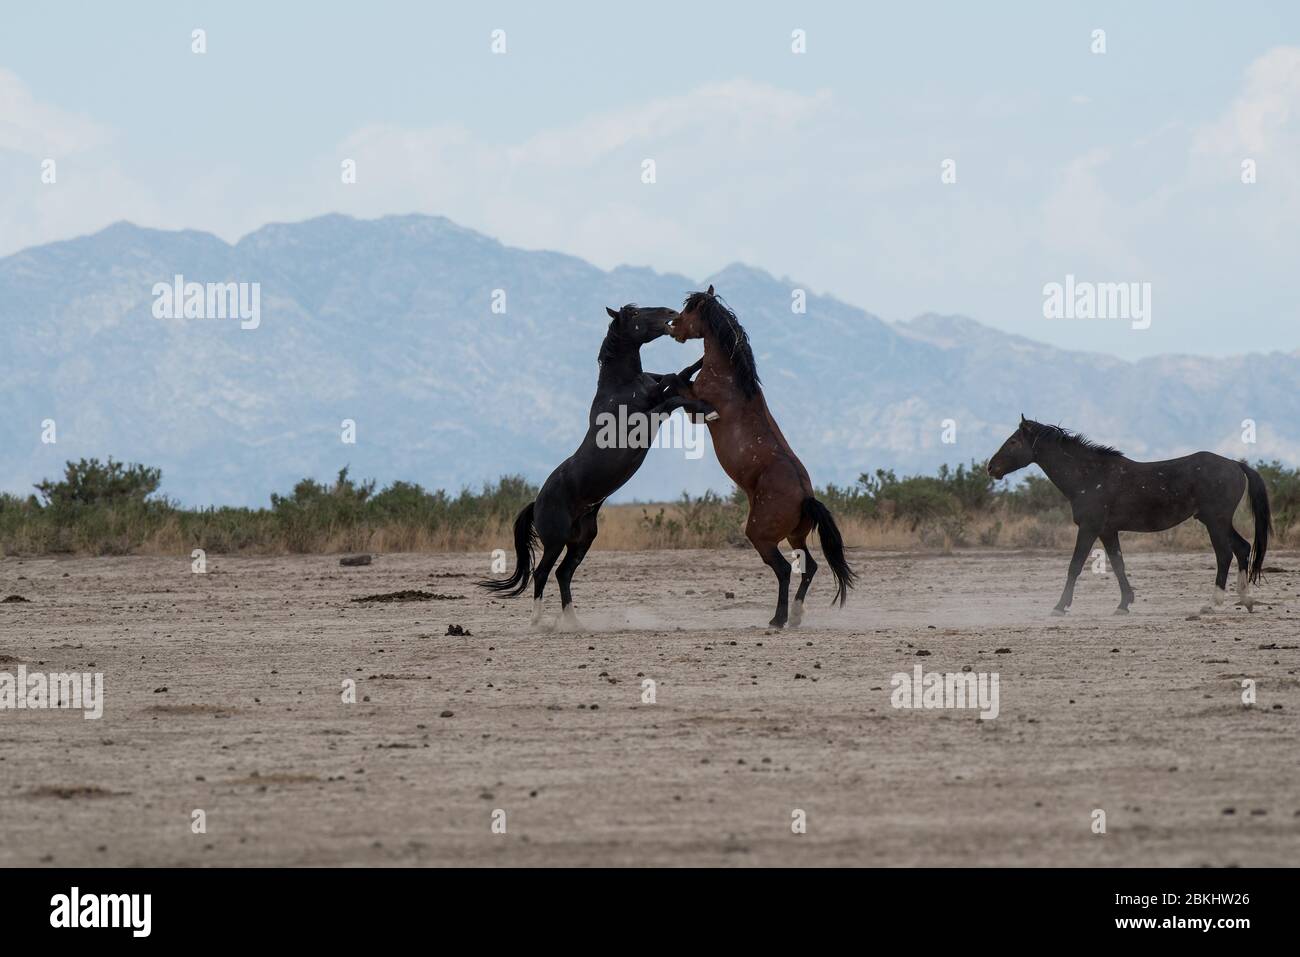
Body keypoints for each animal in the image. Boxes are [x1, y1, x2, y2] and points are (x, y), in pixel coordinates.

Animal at [478, 303, 717, 631]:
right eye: (635, 314)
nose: (670, 312)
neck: (621, 388)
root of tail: (537, 502)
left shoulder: (657, 394)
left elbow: (676, 375)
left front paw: (705, 360)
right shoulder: (651, 414)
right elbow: (674, 394)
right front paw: (709, 409)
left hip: (582, 541)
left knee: (563, 573)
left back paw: (574, 622)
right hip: (555, 541)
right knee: (542, 573)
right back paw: (539, 621)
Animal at [669, 285, 856, 628]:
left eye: (690, 311)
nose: (673, 327)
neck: (729, 376)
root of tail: (806, 498)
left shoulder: (694, 408)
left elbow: (677, 381)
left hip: (761, 536)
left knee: (783, 569)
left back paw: (778, 618)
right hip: (795, 536)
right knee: (809, 567)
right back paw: (795, 615)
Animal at [988, 416, 1271, 615]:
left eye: (1013, 442)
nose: (991, 467)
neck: (1090, 476)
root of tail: (1236, 465)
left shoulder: (1089, 528)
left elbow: (1075, 566)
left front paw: (1060, 606)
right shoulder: (1107, 531)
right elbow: (1118, 564)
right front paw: (1124, 604)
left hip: (1215, 522)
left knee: (1225, 555)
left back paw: (1212, 604)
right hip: (1218, 521)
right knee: (1242, 548)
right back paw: (1246, 599)